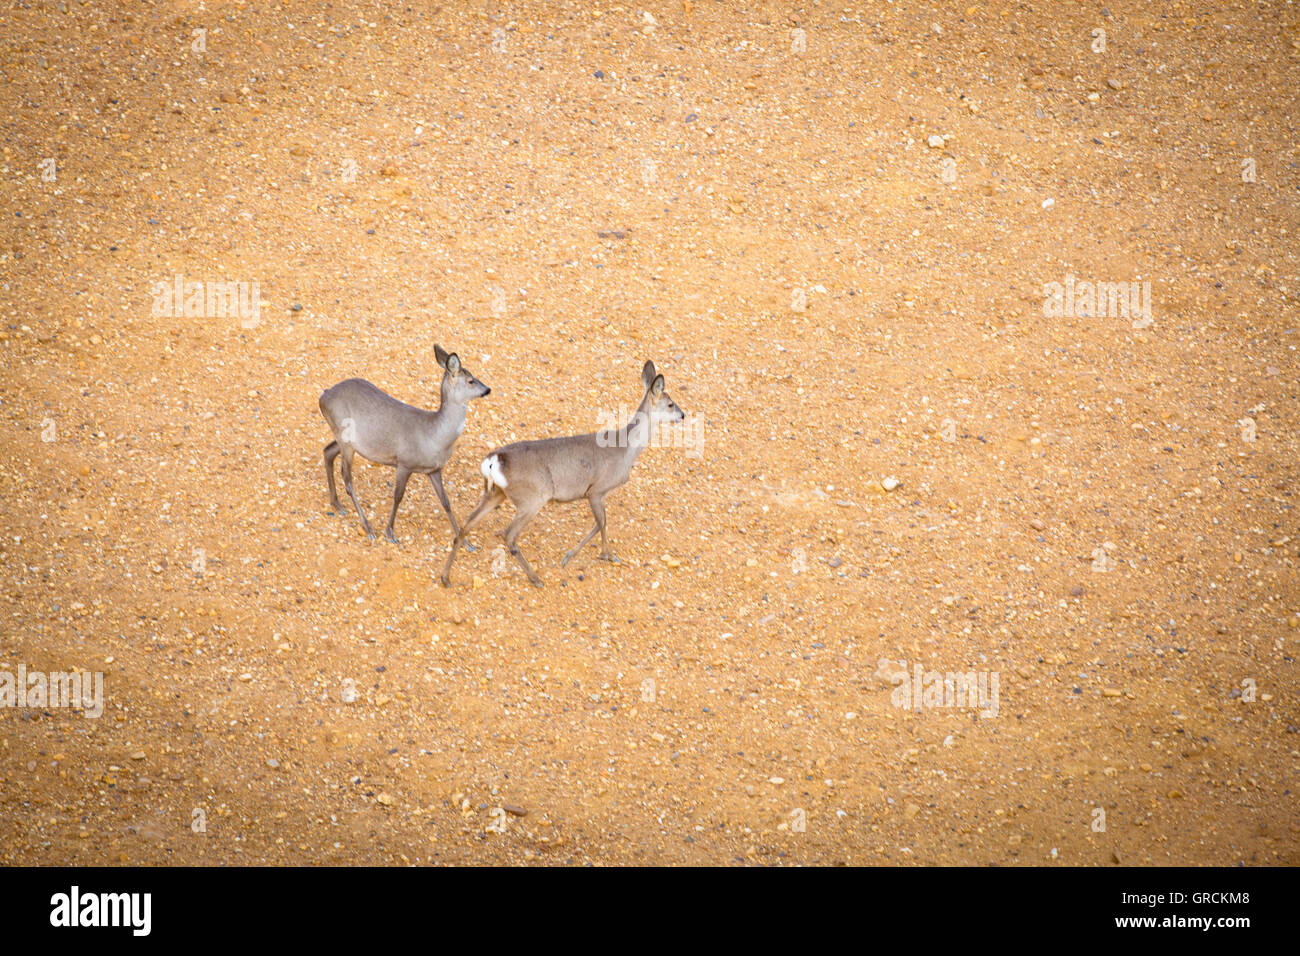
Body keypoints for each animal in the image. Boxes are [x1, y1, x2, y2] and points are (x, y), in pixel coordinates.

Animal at [319, 345, 490, 543]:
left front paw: (465, 541)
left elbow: (446, 502)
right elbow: (398, 496)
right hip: (344, 436)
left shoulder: (434, 470)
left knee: (328, 451)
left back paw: (336, 504)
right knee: (347, 478)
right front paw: (390, 533)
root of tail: (324, 396)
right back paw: (367, 527)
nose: (487, 389)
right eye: (471, 381)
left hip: (346, 439)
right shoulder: (404, 462)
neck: (435, 436)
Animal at [440, 360, 685, 587]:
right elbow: (601, 523)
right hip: (532, 497)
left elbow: (601, 523)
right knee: (509, 535)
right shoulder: (597, 489)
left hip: (495, 493)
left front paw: (601, 554)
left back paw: (445, 577)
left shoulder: (596, 493)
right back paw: (536, 578)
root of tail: (494, 460)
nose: (682, 415)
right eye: (670, 404)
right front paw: (584, 556)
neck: (626, 448)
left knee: (465, 527)